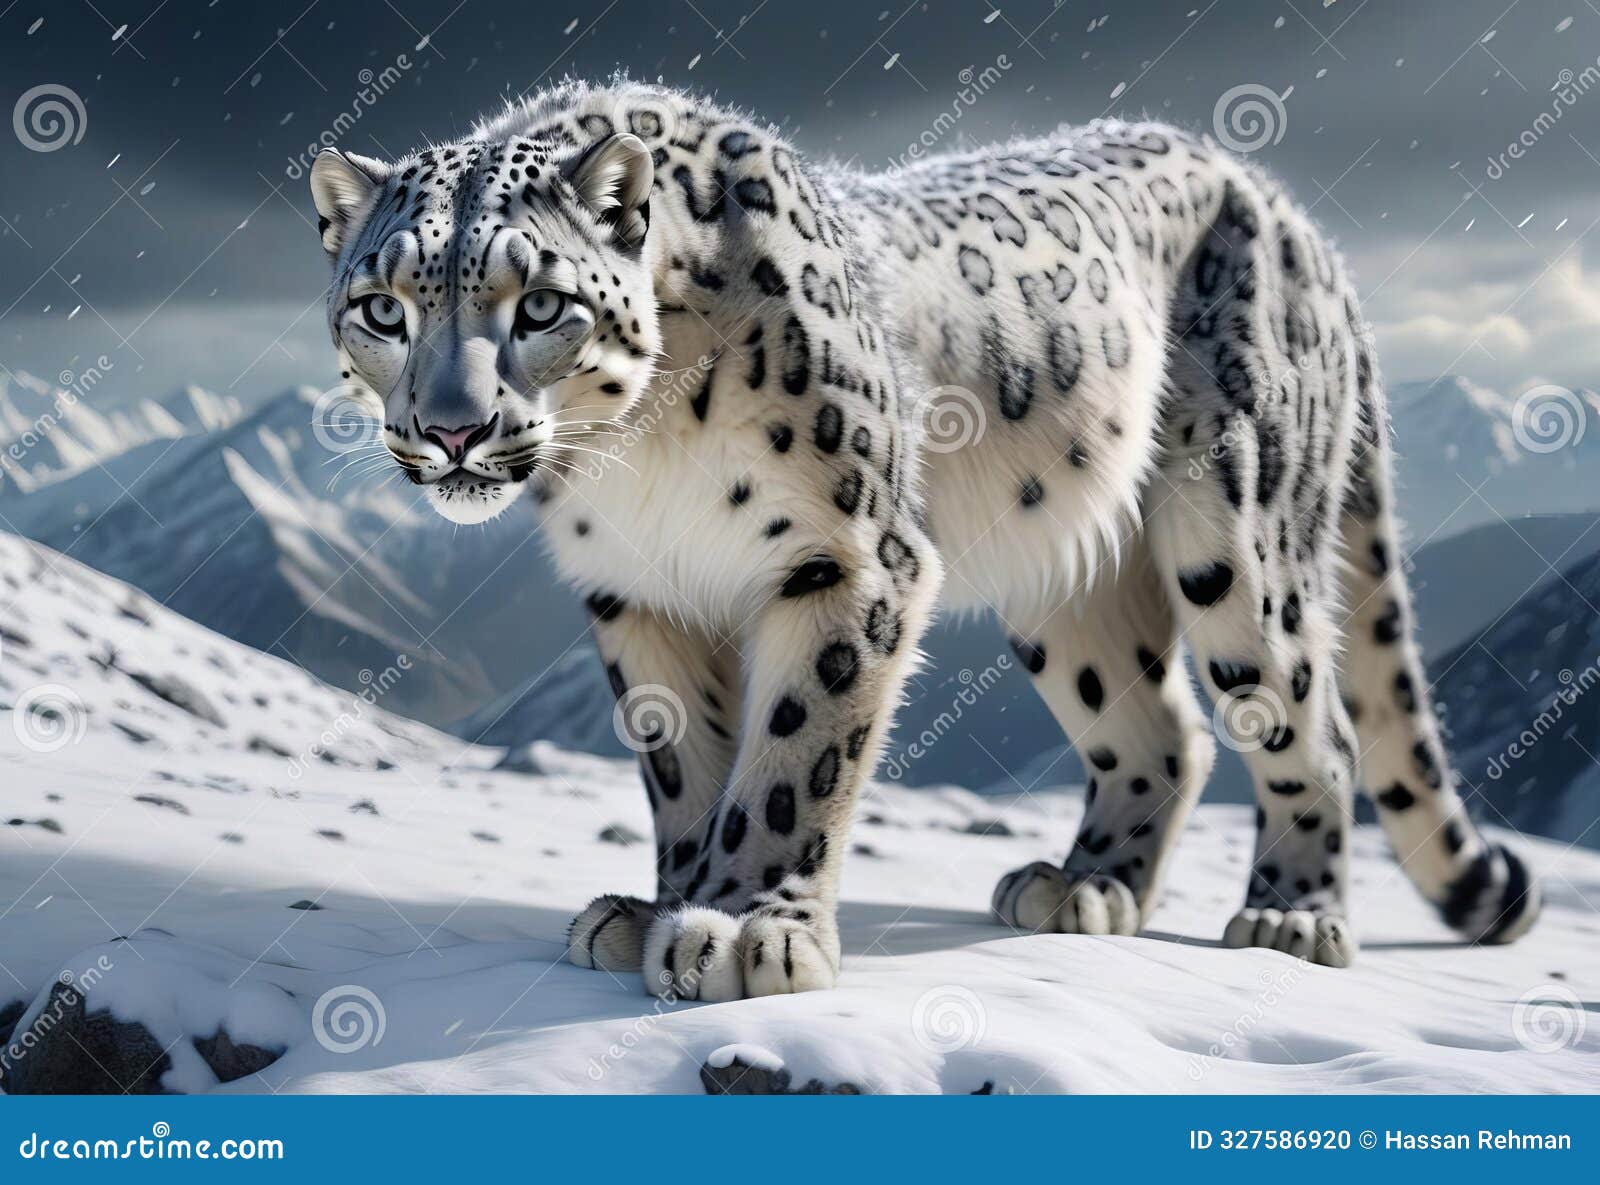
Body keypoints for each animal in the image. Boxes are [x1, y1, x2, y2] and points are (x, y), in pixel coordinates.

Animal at [309, 77, 1540, 998]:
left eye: (540, 305)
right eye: (383, 309)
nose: (452, 432)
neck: (639, 457)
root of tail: (1296, 216)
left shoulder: (845, 556)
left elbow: (792, 753)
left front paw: (742, 928)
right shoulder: (639, 593)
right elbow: (684, 762)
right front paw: (664, 903)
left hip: (1240, 531)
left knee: (1308, 724)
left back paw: (1292, 916)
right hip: (1063, 585)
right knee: (1160, 730)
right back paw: (1083, 890)